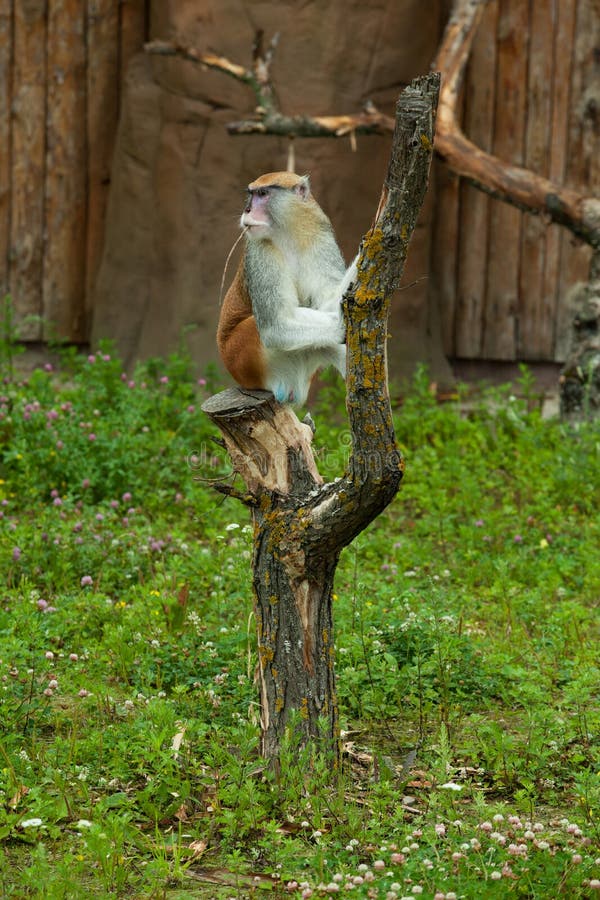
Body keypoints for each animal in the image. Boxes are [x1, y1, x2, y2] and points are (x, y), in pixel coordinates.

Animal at [217, 172, 356, 406]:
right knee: (257, 324)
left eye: (263, 194)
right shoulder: (260, 250)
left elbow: (328, 301)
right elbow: (274, 328)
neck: (288, 232)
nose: (247, 210)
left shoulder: (321, 238)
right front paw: (340, 327)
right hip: (243, 358)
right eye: (251, 194)